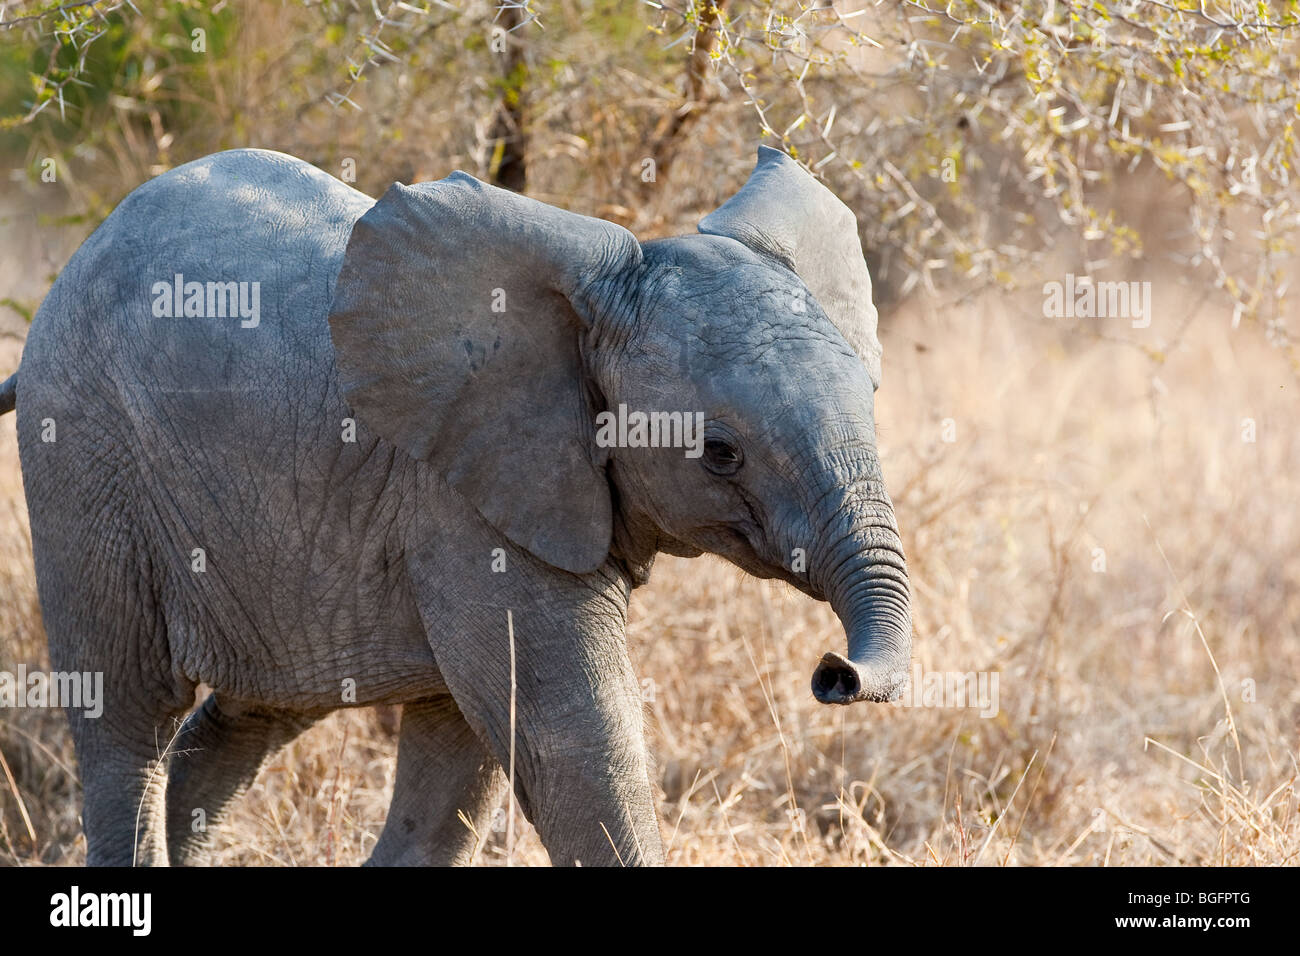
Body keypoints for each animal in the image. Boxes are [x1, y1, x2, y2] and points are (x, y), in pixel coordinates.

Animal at [0, 144, 911, 866]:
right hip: (82, 451)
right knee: (130, 714)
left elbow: (467, 754)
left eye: (875, 398)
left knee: (255, 712)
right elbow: (571, 738)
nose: (835, 674)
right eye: (720, 452)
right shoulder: (460, 498)